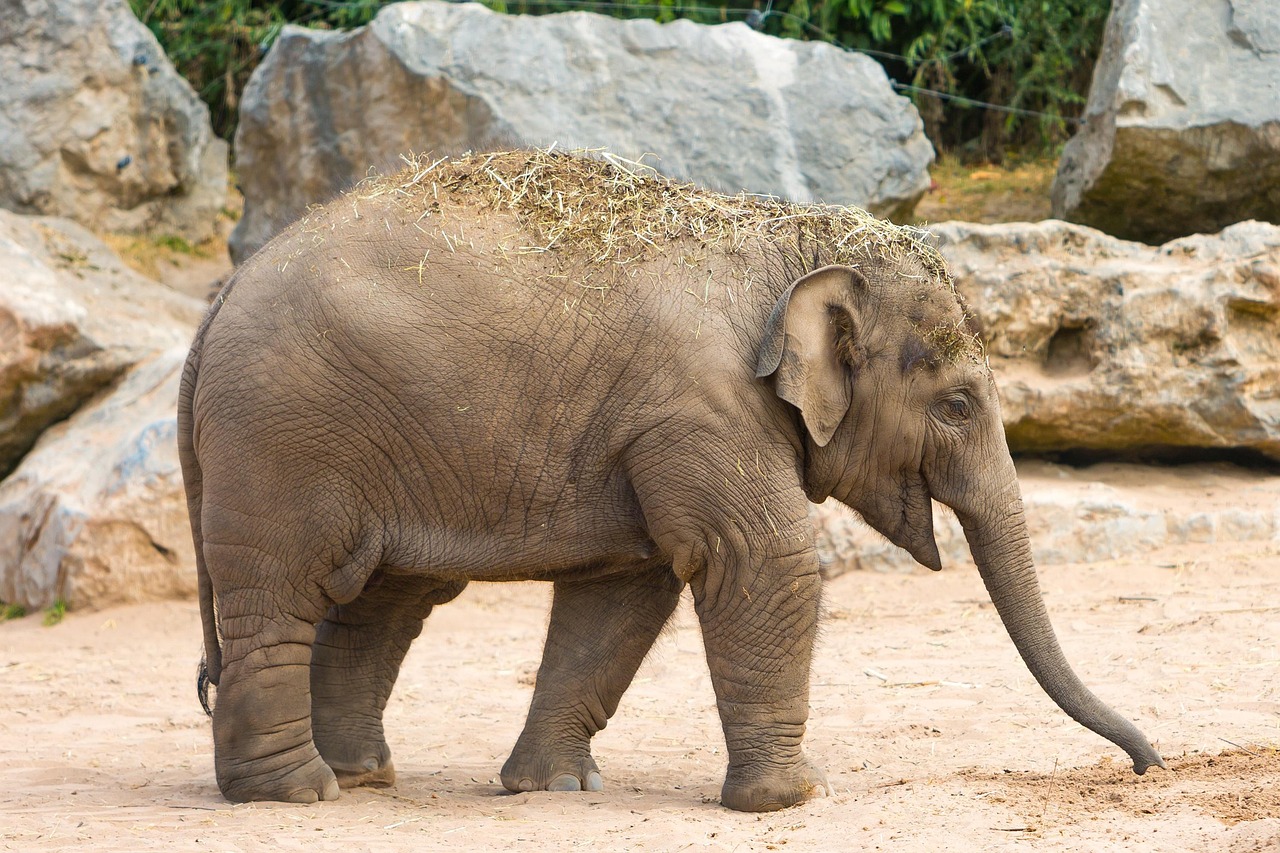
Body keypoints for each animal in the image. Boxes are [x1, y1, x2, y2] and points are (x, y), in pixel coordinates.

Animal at [178, 148, 1164, 812]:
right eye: (958, 404)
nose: (1150, 762)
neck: (786, 240)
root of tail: (218, 300)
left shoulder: (645, 432)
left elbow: (622, 590)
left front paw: (554, 787)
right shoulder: (703, 407)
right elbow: (762, 560)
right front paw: (794, 796)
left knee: (384, 600)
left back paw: (362, 776)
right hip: (281, 440)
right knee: (284, 590)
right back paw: (297, 792)